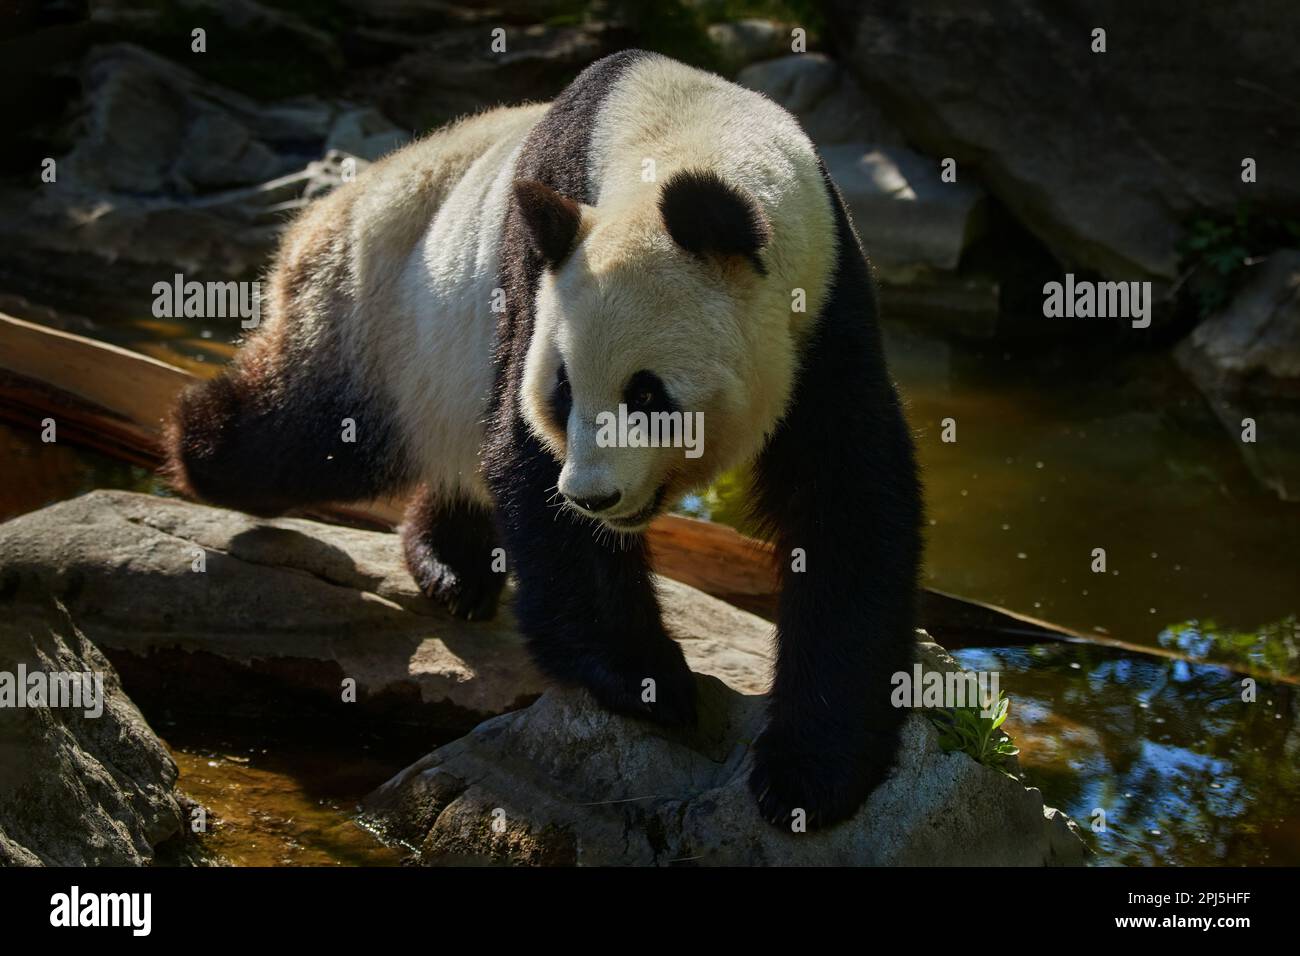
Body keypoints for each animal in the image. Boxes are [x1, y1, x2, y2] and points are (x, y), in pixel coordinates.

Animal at [167, 50, 923, 830]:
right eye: (563, 391)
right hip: (372, 314)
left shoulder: (827, 307)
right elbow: (522, 449)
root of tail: (327, 207)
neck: (684, 137)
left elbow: (848, 499)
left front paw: (809, 774)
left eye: (647, 394)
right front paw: (647, 680)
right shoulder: (537, 275)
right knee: (301, 434)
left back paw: (452, 565)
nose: (593, 496)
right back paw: (199, 438)